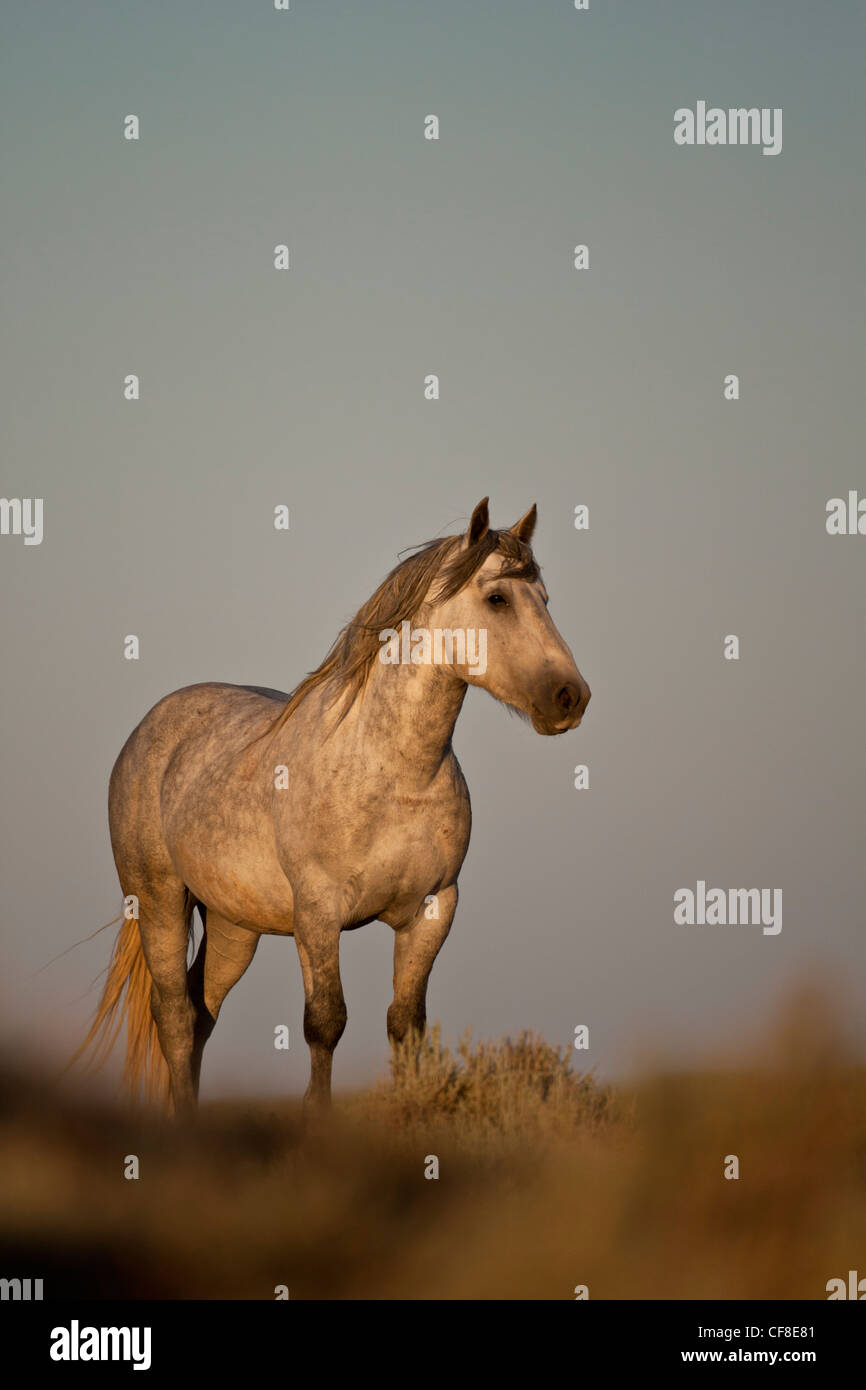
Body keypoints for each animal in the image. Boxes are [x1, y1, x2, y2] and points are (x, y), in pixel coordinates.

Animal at [75, 498, 591, 1112]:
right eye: (497, 598)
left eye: (545, 599)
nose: (570, 697)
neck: (392, 773)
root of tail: (150, 729)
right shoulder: (318, 914)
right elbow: (325, 1022)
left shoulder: (434, 908)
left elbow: (406, 1024)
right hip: (159, 900)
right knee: (175, 1016)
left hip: (233, 925)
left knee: (202, 1013)